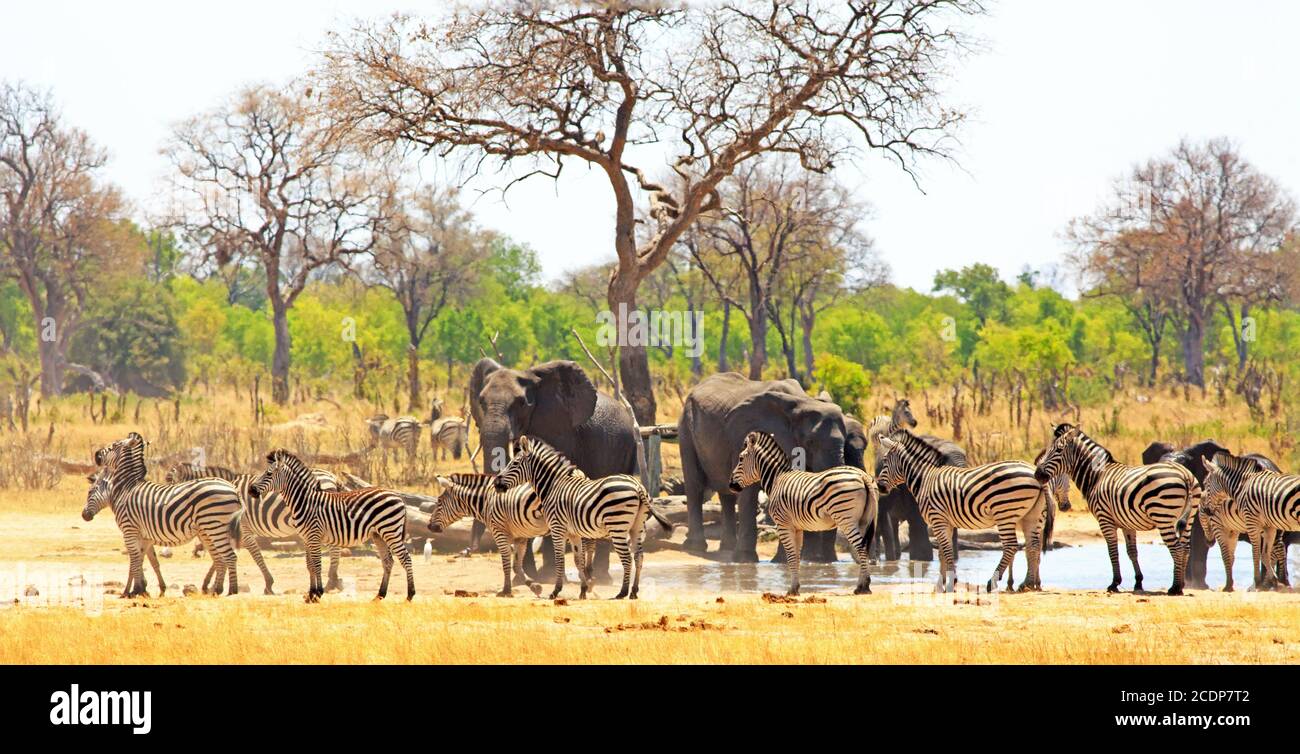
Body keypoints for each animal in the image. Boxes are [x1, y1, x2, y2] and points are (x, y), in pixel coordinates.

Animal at [469, 358, 640, 582]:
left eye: (521, 403)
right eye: (481, 402)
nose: (469, 550)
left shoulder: (558, 431)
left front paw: (547, 576)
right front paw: (526, 577)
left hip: (624, 451)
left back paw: (601, 577)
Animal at [678, 372, 849, 562]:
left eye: (845, 439)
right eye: (810, 442)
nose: (827, 560)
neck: (802, 401)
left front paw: (782, 561)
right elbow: (749, 493)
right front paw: (745, 559)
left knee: (727, 494)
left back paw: (727, 548)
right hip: (686, 427)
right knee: (695, 486)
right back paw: (695, 547)